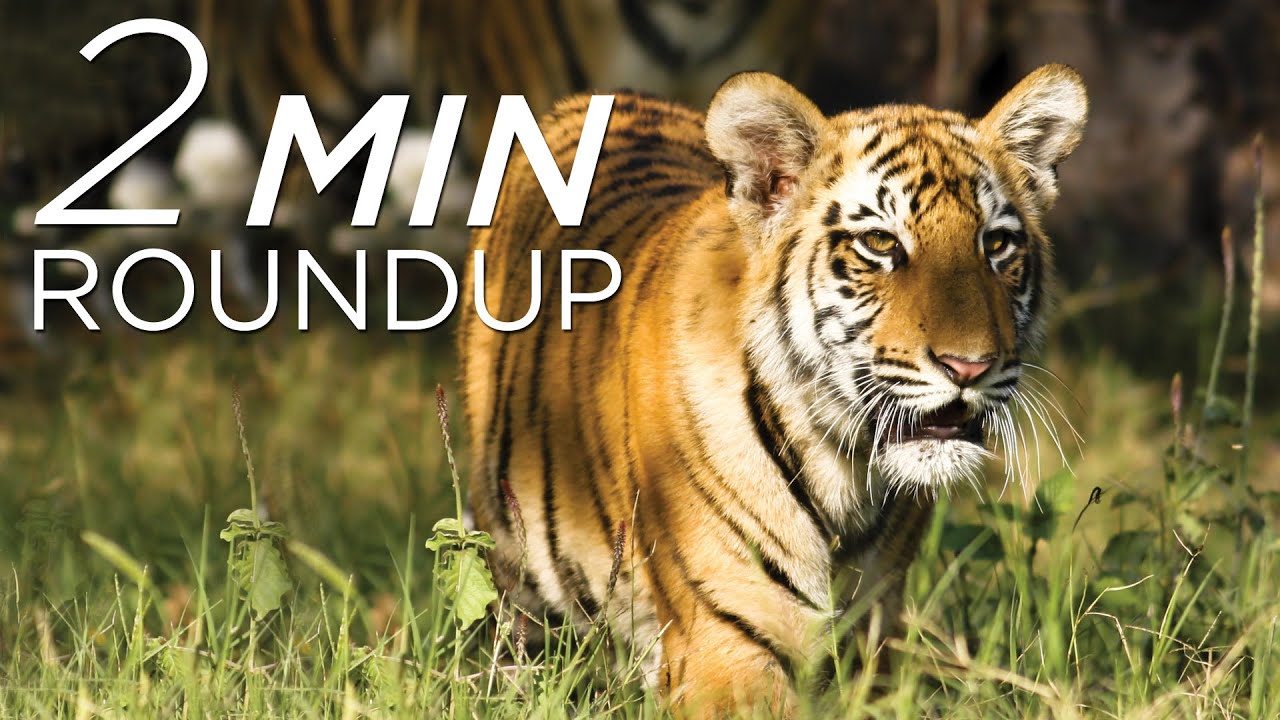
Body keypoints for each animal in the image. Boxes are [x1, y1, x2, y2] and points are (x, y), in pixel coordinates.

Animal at [459, 64, 1087, 715]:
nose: (968, 366)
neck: (845, 472)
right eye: (881, 244)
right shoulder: (724, 638)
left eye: (997, 245)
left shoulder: (872, 634)